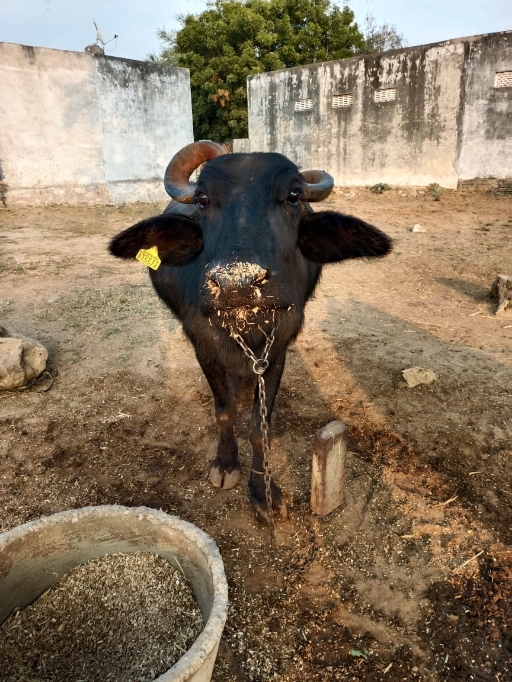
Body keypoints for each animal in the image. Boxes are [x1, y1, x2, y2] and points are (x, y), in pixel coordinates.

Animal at [109, 141, 392, 523]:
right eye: (203, 199)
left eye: (293, 196)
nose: (237, 283)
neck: (245, 324)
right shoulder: (204, 347)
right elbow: (224, 411)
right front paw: (226, 463)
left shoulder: (278, 350)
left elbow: (260, 425)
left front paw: (262, 489)